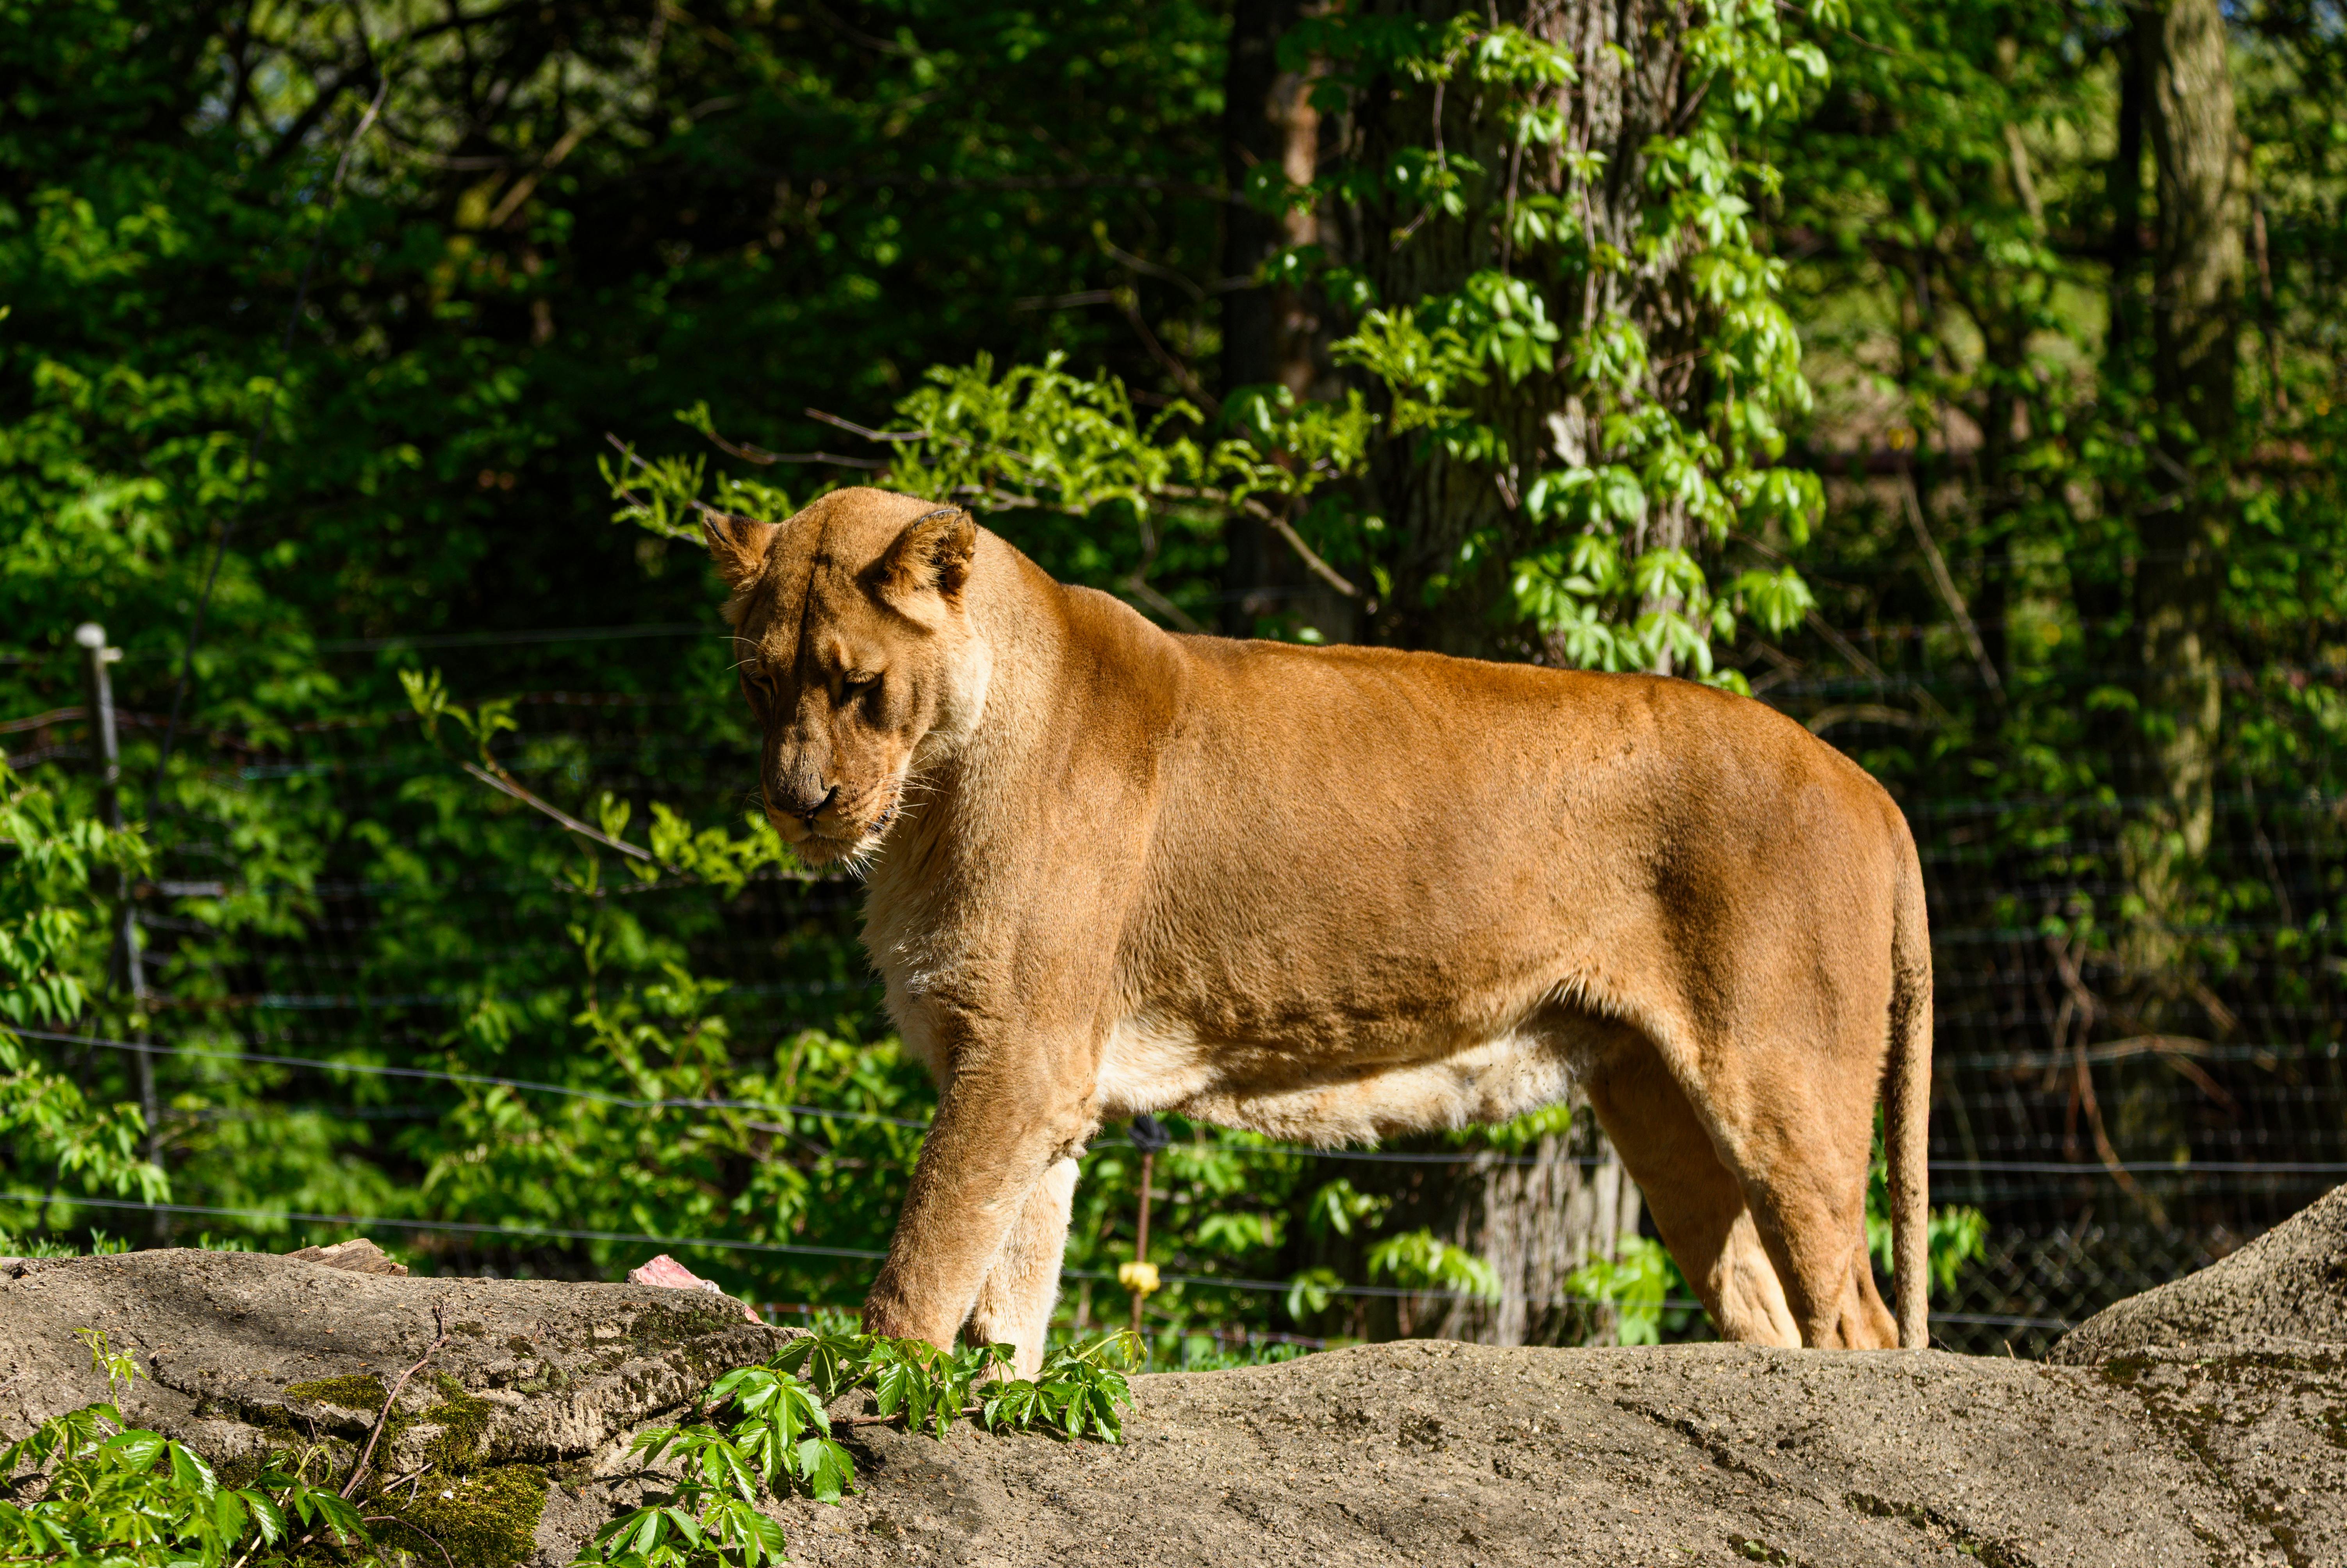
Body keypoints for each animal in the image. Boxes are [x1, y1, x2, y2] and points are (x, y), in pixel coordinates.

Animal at [703, 486, 1932, 1374]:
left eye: (857, 684)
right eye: (759, 685)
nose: (797, 802)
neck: (928, 803)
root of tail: (1873, 789)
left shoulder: (1022, 1058)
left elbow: (919, 1267)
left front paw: (852, 1398)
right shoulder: (1032, 1079)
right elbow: (1006, 1299)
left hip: (1781, 1084)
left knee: (1856, 1321)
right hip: (1659, 1106)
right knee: (1766, 1311)